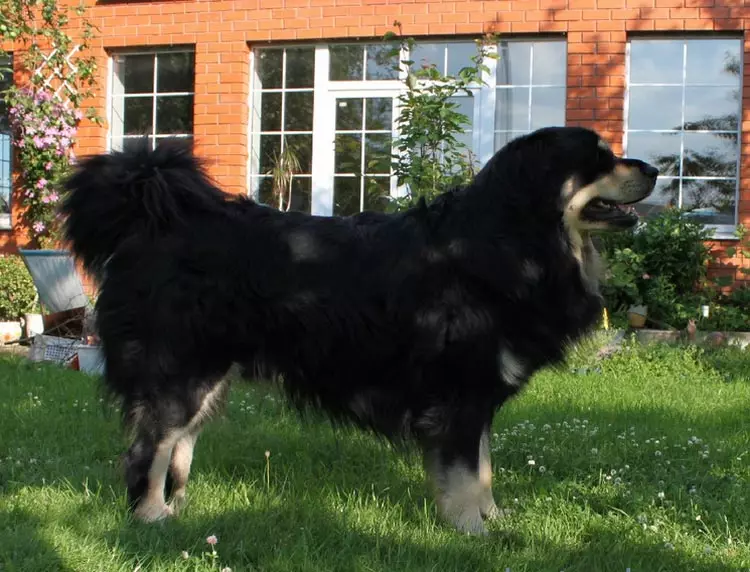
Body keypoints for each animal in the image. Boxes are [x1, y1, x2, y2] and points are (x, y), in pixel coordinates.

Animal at [60, 127, 656, 536]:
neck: (514, 243)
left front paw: (497, 520)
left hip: (208, 378)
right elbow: (465, 474)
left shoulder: (476, 399)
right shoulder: (458, 397)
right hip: (179, 372)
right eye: (599, 158)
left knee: (176, 445)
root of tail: (153, 219)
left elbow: (483, 470)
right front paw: (473, 532)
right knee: (149, 448)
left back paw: (178, 515)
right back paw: (149, 518)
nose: (653, 168)